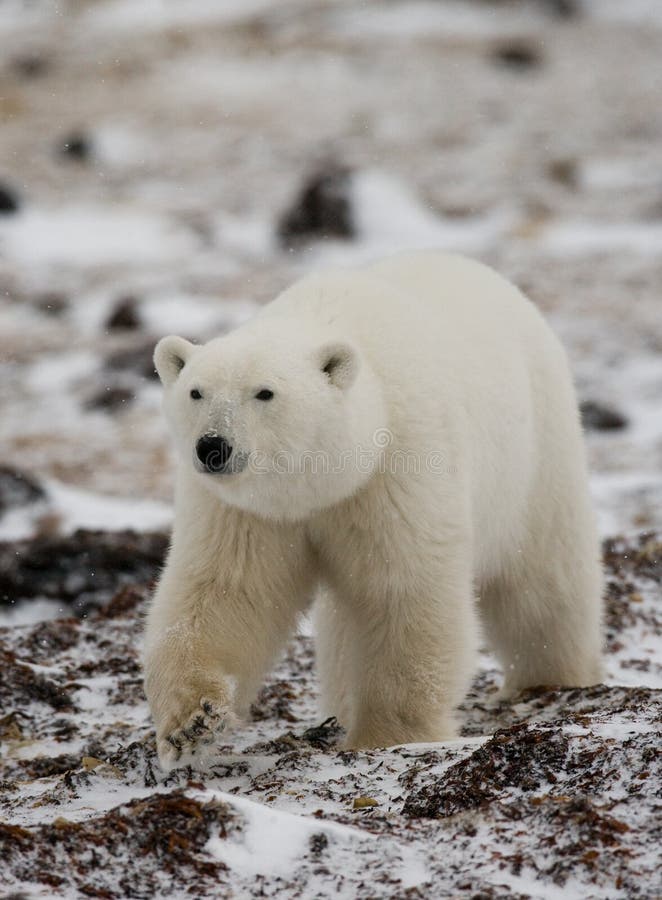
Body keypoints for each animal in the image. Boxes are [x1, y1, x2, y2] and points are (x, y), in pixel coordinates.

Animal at [144, 249, 604, 769]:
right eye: (196, 391)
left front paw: (388, 735)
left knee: (544, 580)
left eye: (264, 392)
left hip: (535, 455)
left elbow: (402, 590)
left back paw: (555, 676)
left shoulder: (397, 468)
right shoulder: (246, 511)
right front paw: (193, 720)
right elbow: (226, 591)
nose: (213, 447)